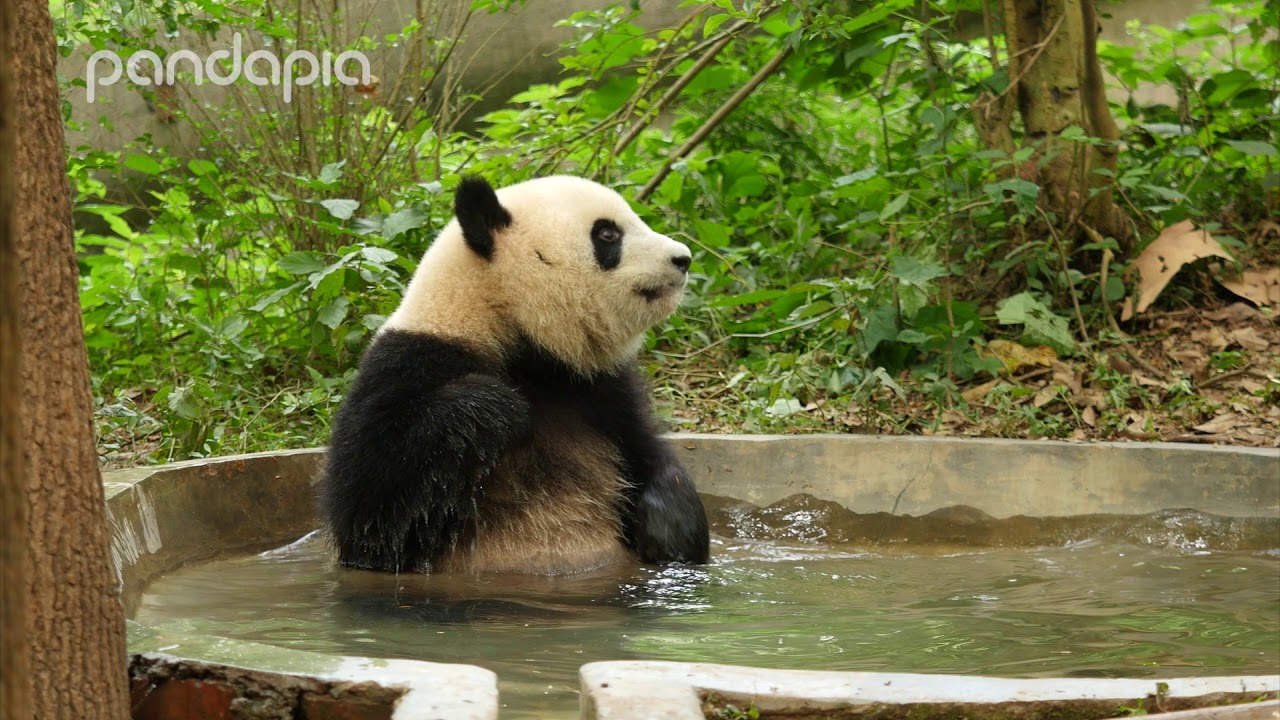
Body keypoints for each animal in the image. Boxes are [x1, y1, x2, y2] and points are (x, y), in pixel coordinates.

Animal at [319, 175, 710, 575]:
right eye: (607, 234)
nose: (682, 258)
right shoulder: (404, 364)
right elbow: (374, 510)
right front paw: (495, 407)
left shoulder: (598, 386)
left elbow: (647, 451)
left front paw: (670, 531)